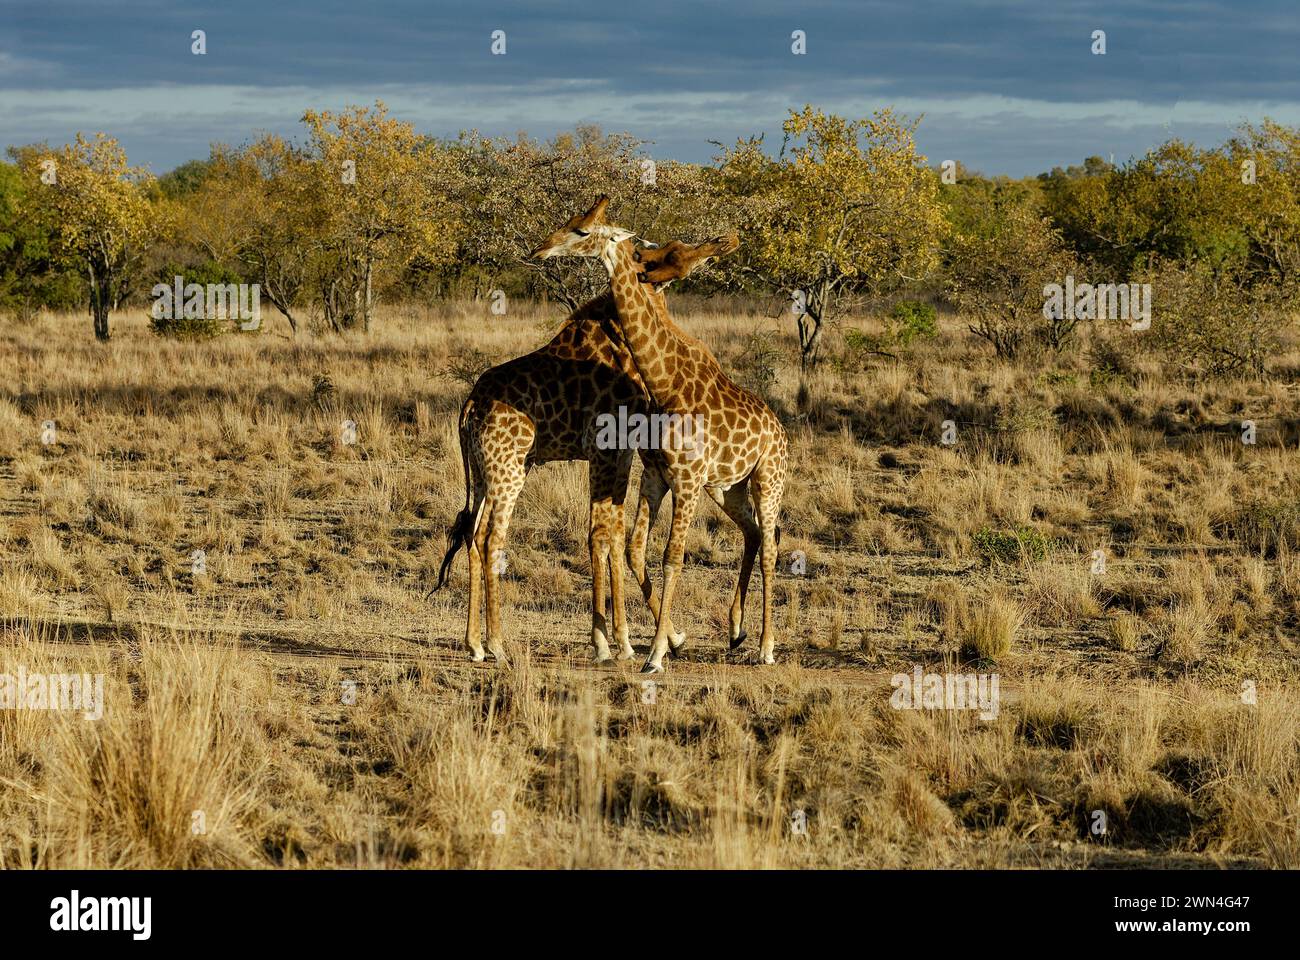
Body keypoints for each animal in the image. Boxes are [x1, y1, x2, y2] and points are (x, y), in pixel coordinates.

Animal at [433, 235, 734, 665]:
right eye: (676, 252)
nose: (720, 244)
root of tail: (469, 407)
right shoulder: (612, 450)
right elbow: (606, 536)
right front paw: (619, 642)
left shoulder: (613, 453)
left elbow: (610, 535)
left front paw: (630, 639)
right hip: (507, 469)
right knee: (491, 538)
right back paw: (498, 646)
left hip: (491, 469)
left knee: (471, 533)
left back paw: (473, 644)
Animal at [531, 197, 789, 673]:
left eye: (582, 231)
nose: (541, 250)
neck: (664, 383)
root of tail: (782, 432)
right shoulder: (657, 476)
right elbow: (636, 547)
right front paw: (666, 641)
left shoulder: (685, 481)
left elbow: (673, 557)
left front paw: (655, 655)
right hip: (727, 487)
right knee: (754, 533)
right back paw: (736, 631)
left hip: (768, 480)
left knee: (770, 546)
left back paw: (765, 647)